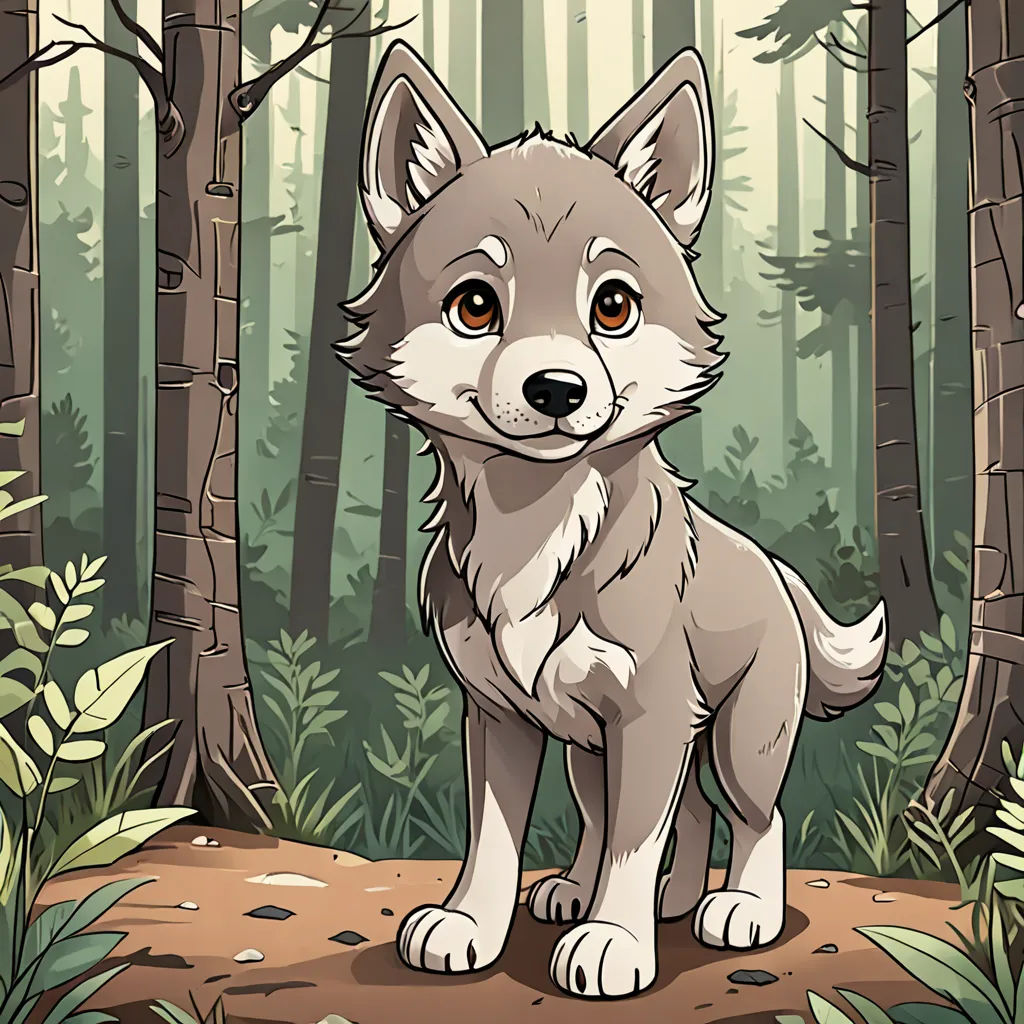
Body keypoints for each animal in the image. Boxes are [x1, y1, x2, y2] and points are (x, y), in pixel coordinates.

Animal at [337, 40, 888, 999]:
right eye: (475, 305)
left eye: (614, 307)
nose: (557, 389)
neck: (536, 528)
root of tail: (777, 569)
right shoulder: (500, 716)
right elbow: (496, 838)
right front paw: (472, 925)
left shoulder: (651, 711)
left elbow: (638, 837)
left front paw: (615, 944)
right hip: (589, 744)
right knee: (658, 817)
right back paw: (607, 892)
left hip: (738, 737)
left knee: (755, 816)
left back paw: (738, 909)